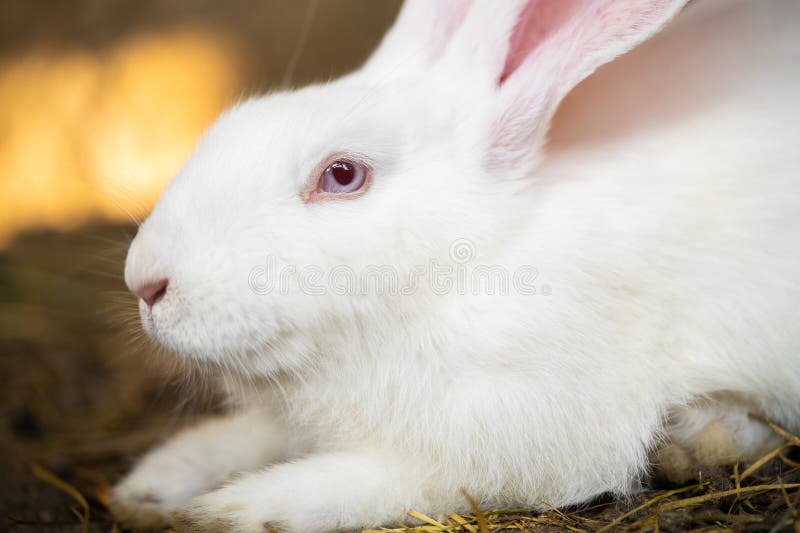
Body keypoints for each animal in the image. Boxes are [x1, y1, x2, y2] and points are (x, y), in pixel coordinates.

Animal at [109, 0, 800, 531]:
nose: (145, 281)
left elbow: (383, 480)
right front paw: (154, 485)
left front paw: (234, 509)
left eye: (343, 175)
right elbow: (251, 437)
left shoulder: (518, 440)